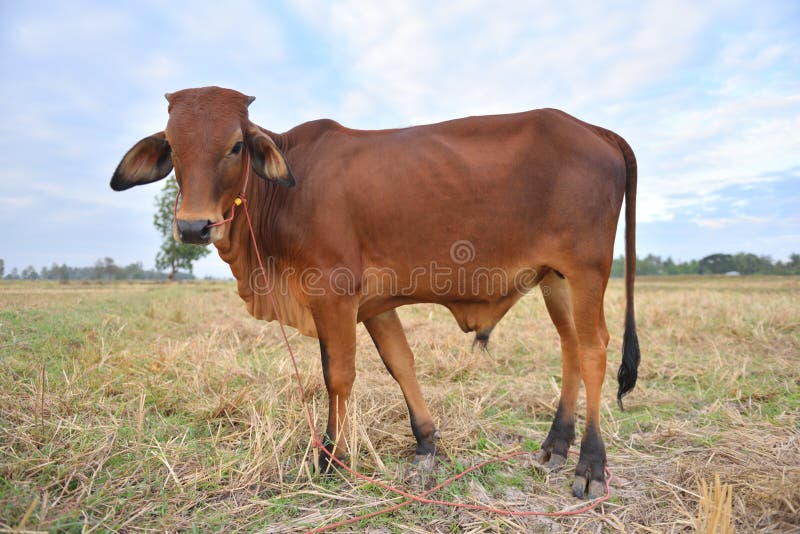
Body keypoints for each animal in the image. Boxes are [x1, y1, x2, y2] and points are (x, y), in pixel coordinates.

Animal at [110, 86, 640, 499]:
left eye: (236, 145)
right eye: (172, 146)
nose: (192, 226)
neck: (285, 193)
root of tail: (593, 129)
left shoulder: (332, 294)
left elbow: (338, 376)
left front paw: (332, 456)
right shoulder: (374, 307)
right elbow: (401, 364)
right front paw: (427, 445)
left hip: (587, 270)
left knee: (594, 350)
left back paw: (590, 465)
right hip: (555, 278)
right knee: (570, 347)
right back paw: (555, 445)